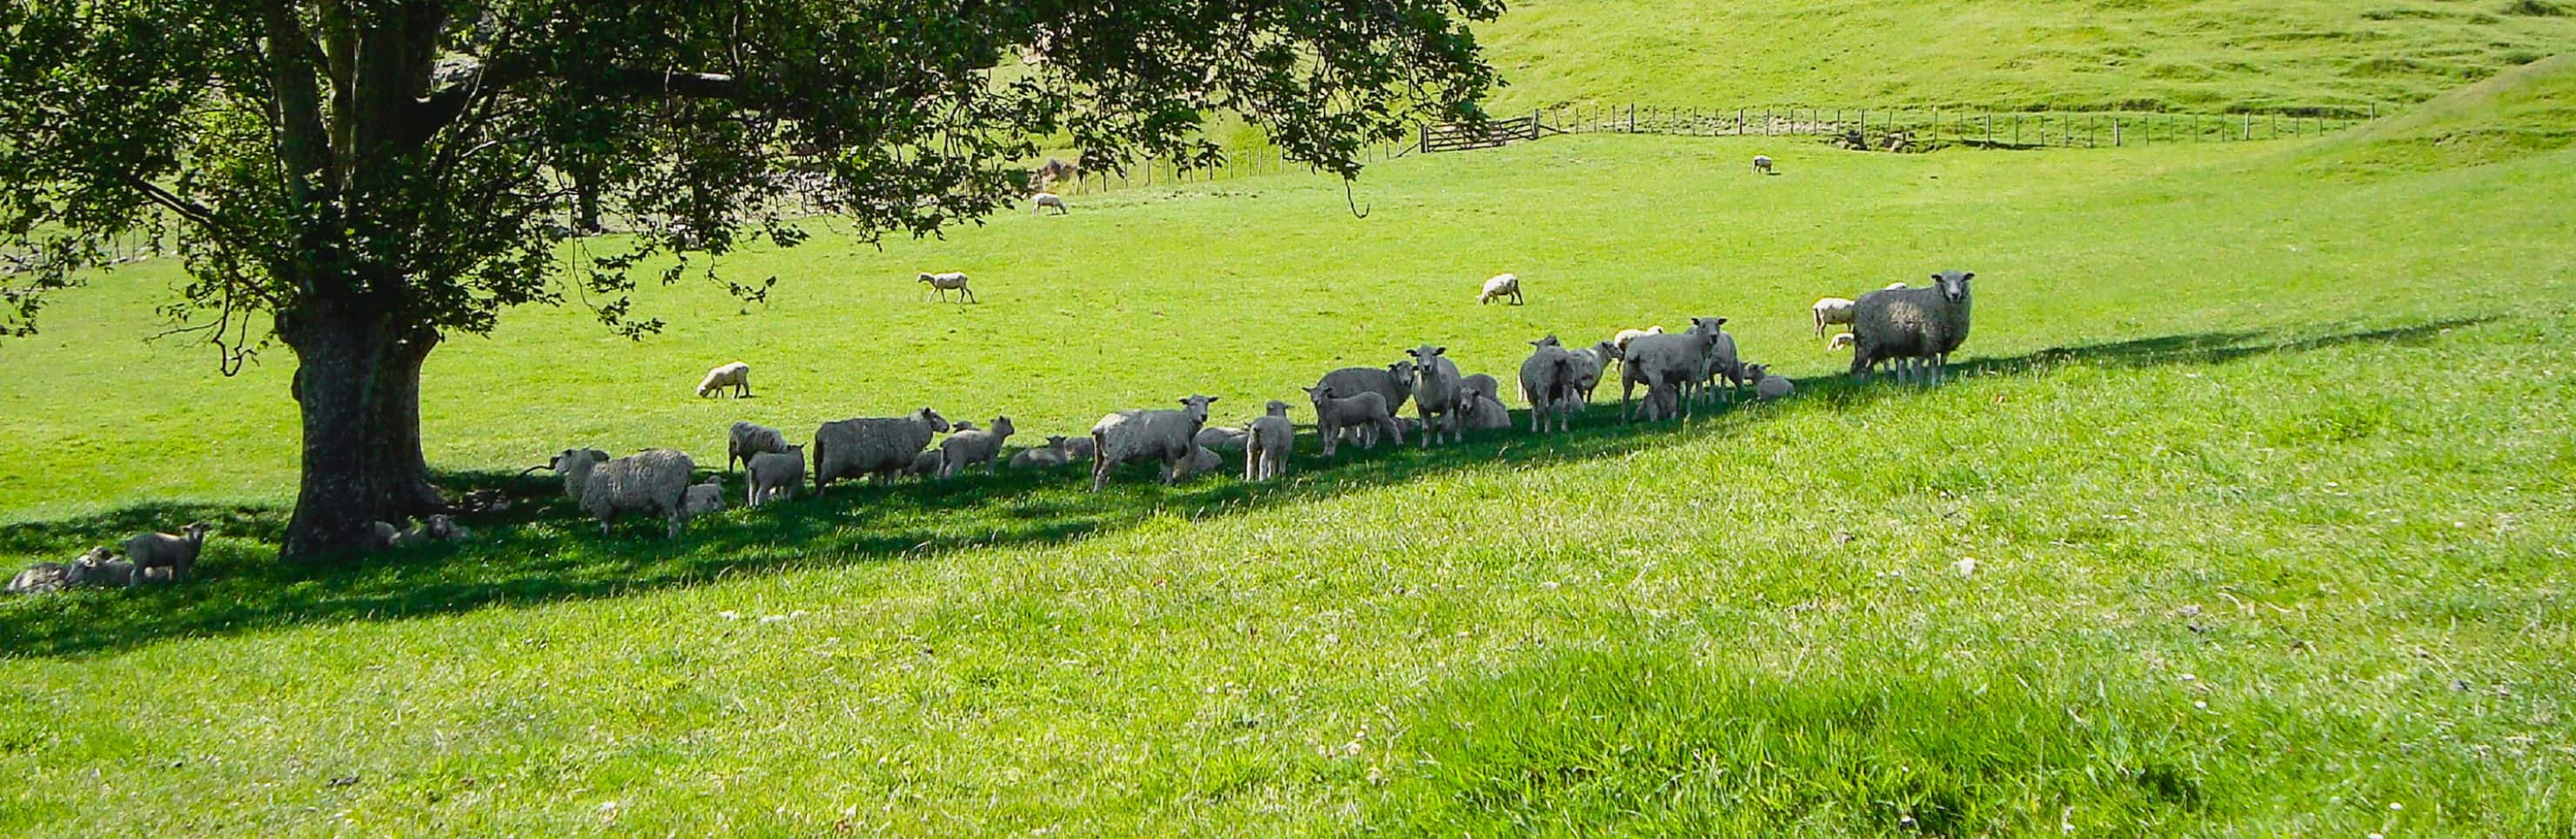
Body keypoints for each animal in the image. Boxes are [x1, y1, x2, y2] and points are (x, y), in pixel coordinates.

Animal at [553, 448, 699, 538]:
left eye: (561, 458)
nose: (556, 470)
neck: (587, 472)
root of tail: (685, 461)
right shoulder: (611, 505)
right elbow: (610, 520)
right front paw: (610, 533)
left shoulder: (601, 503)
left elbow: (605, 521)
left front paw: (605, 535)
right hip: (681, 493)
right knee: (684, 515)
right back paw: (684, 533)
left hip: (667, 495)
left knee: (673, 518)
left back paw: (671, 537)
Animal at [812, 408, 950, 491]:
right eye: (935, 416)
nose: (948, 426)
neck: (912, 427)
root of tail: (820, 434)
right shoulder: (892, 462)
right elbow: (890, 479)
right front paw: (891, 489)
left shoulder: (885, 464)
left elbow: (885, 479)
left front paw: (884, 489)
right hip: (831, 463)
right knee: (820, 481)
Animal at [1089, 395, 1218, 490]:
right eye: (1192, 404)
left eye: (1207, 403)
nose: (1204, 416)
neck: (1185, 421)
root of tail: (1101, 426)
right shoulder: (1171, 450)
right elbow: (1169, 470)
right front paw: (1169, 485)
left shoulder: (1164, 452)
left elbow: (1164, 470)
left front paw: (1162, 483)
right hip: (1113, 455)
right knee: (1101, 474)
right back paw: (1099, 492)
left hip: (1099, 452)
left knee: (1095, 470)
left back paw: (1093, 490)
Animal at [1850, 271, 1975, 385]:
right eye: (1943, 281)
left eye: (1962, 280)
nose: (1955, 294)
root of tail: (1858, 302)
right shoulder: (1930, 341)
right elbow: (1934, 363)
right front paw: (1934, 384)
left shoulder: (1947, 345)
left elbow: (1943, 363)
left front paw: (1942, 381)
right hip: (1865, 343)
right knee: (1857, 366)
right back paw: (1859, 385)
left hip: (1878, 348)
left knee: (1867, 367)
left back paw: (1868, 383)